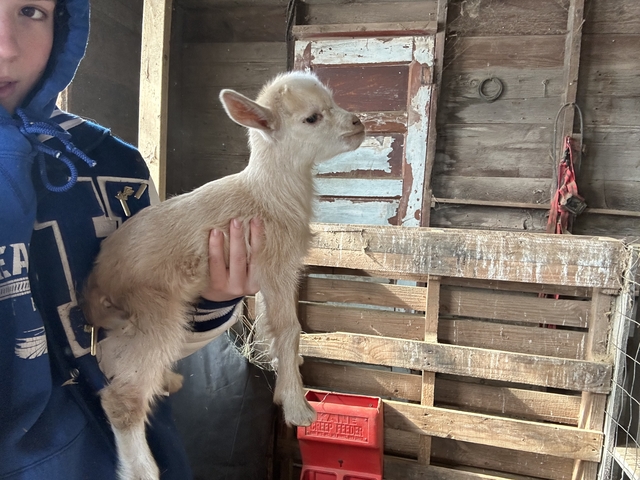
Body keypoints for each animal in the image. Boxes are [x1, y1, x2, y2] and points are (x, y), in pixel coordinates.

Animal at [82, 70, 365, 480]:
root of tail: (97, 279)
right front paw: (298, 408)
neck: (269, 193)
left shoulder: (265, 276)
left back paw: (165, 381)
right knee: (121, 398)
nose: (359, 123)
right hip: (155, 310)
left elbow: (269, 327)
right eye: (312, 118)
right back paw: (145, 468)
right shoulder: (276, 265)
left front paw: (282, 379)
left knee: (112, 358)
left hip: (131, 322)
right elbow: (289, 329)